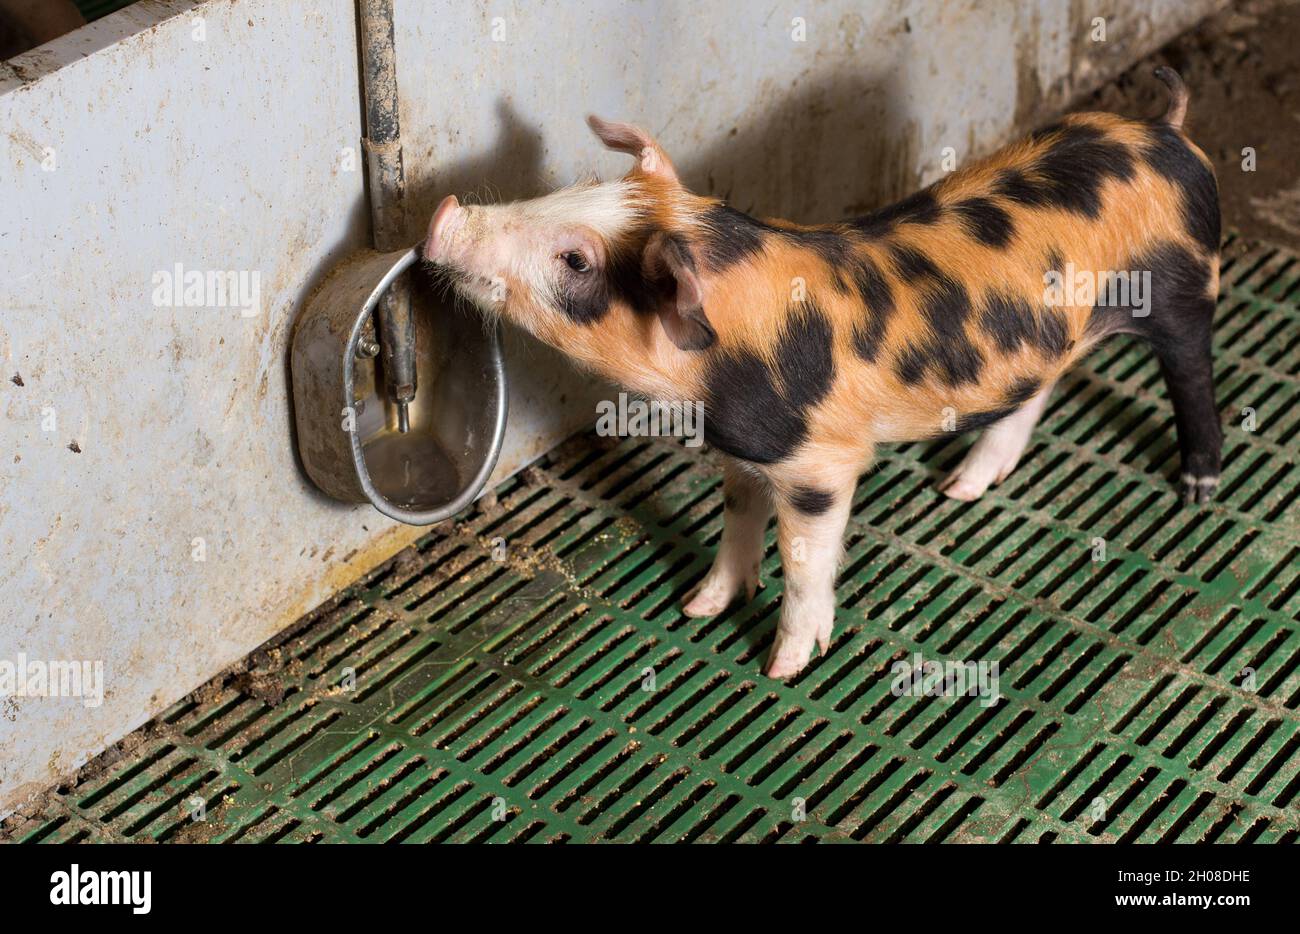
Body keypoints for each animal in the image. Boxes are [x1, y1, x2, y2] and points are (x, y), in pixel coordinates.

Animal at [423, 67, 1221, 679]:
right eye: (569, 192)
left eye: (575, 261)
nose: (443, 211)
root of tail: (1169, 133)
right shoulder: (746, 446)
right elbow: (737, 517)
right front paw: (700, 605)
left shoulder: (819, 465)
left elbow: (805, 558)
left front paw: (781, 666)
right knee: (1036, 389)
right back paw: (960, 488)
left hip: (1183, 291)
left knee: (1194, 380)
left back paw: (1197, 489)